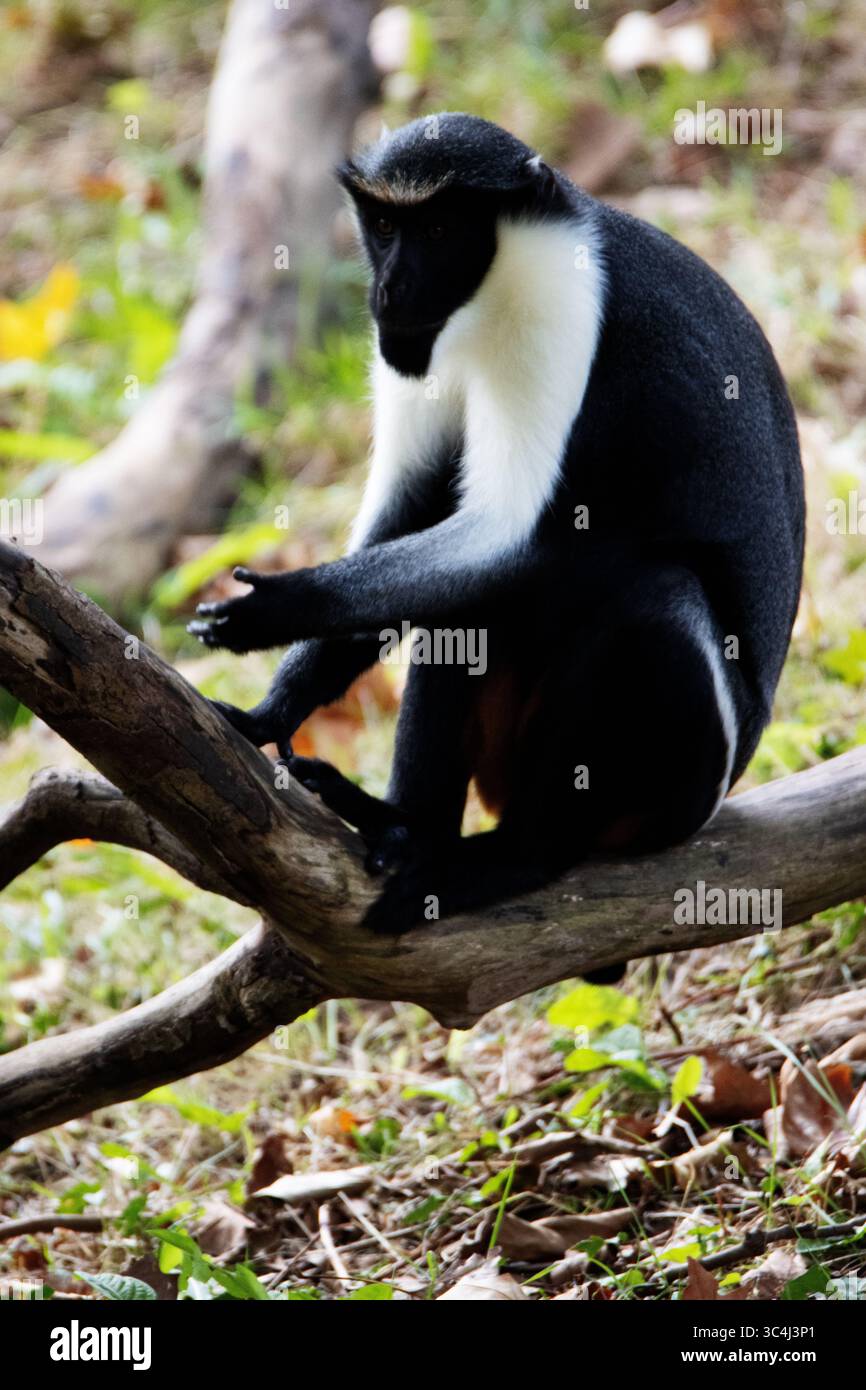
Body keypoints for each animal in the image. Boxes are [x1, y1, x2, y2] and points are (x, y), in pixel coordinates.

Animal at [189, 112, 804, 935]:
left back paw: (515, 853)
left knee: (653, 599)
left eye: (440, 227)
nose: (390, 287)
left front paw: (278, 606)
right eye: (384, 226)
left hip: (681, 782)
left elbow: (511, 539)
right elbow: (410, 516)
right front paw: (270, 710)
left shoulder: (561, 301)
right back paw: (401, 830)